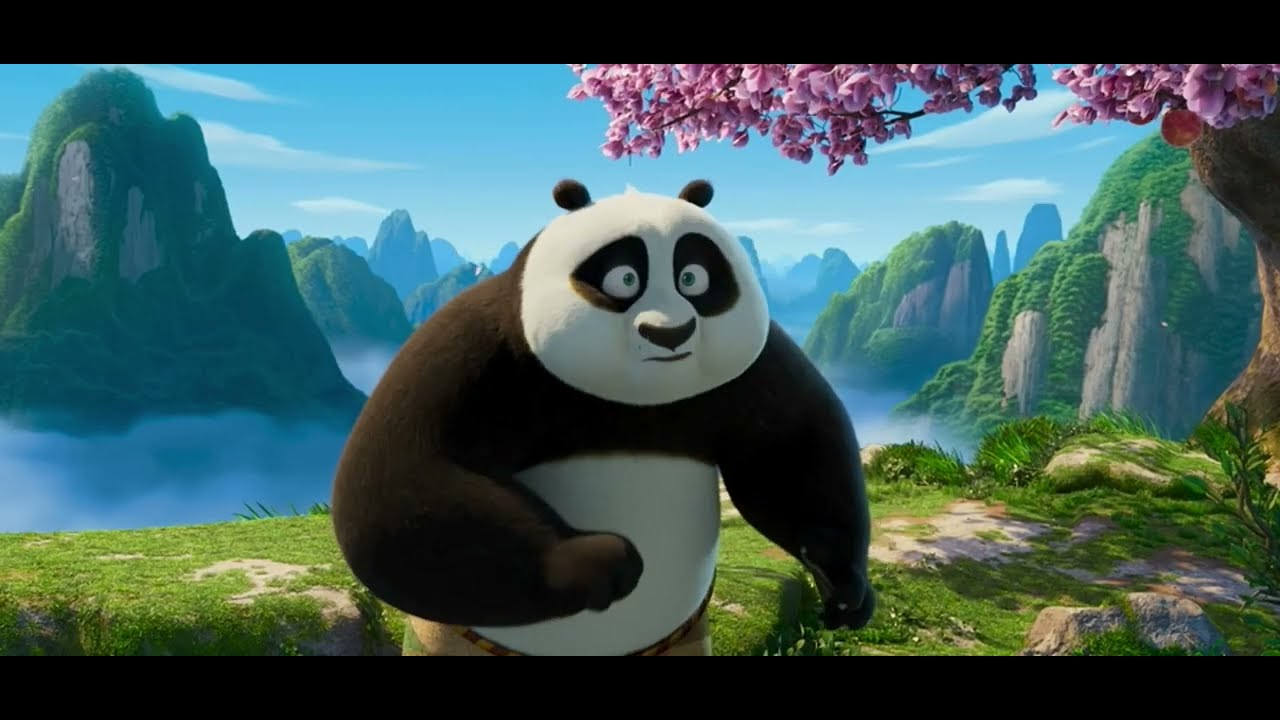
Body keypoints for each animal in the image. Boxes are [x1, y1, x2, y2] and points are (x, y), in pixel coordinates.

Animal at [330, 178, 875, 656]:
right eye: (624, 279)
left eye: (693, 277)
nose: (669, 334)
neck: (634, 403)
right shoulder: (472, 352)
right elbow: (398, 485)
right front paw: (600, 562)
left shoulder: (752, 370)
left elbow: (789, 454)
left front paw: (843, 584)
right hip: (454, 635)